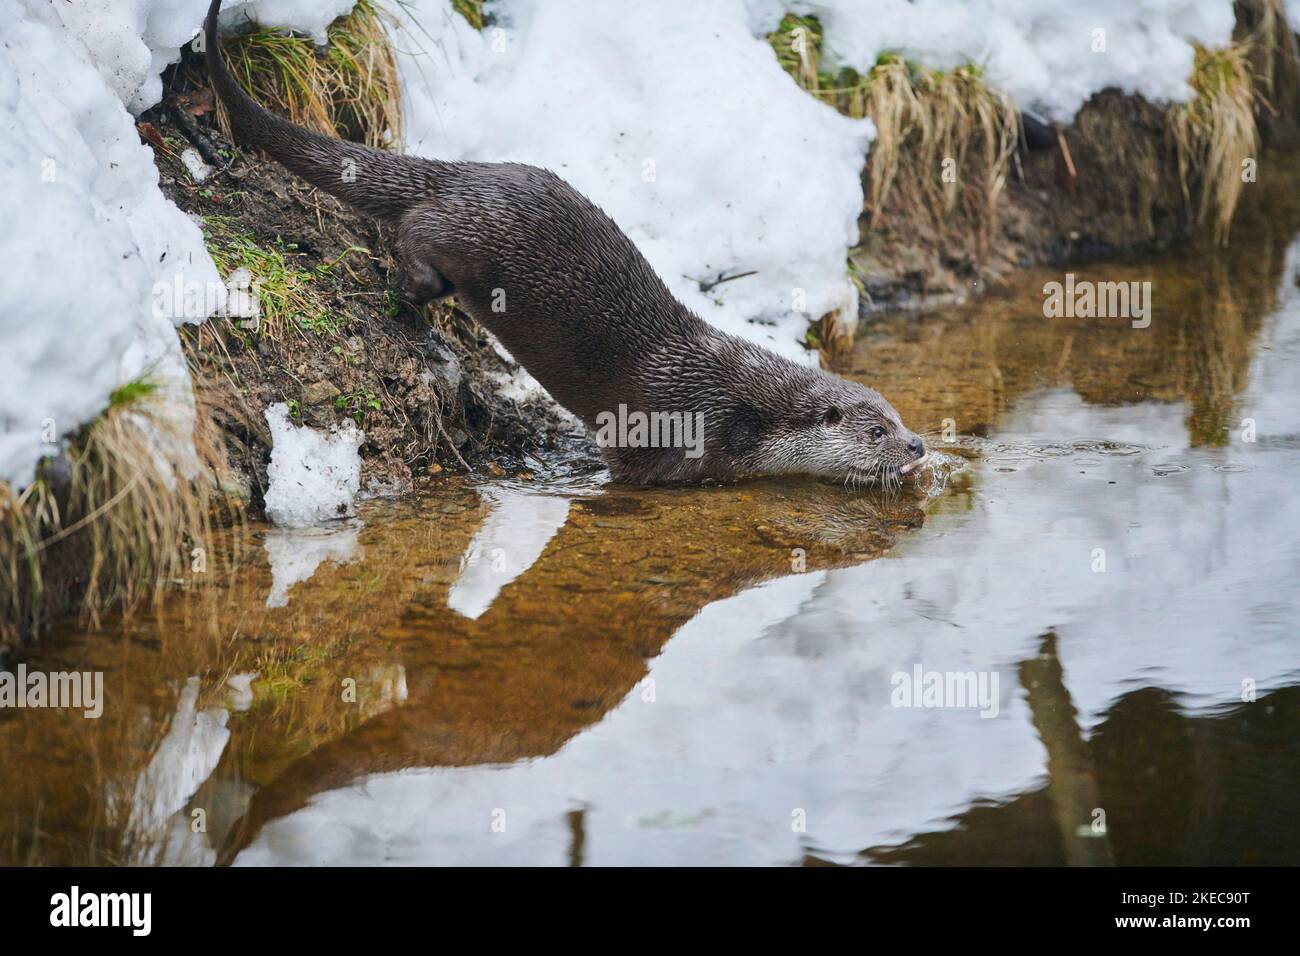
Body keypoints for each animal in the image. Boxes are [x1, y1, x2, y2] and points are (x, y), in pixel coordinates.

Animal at [201, 0, 926, 485]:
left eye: (898, 415)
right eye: (876, 430)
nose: (920, 445)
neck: (744, 410)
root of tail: (462, 172)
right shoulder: (658, 434)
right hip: (463, 234)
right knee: (417, 239)